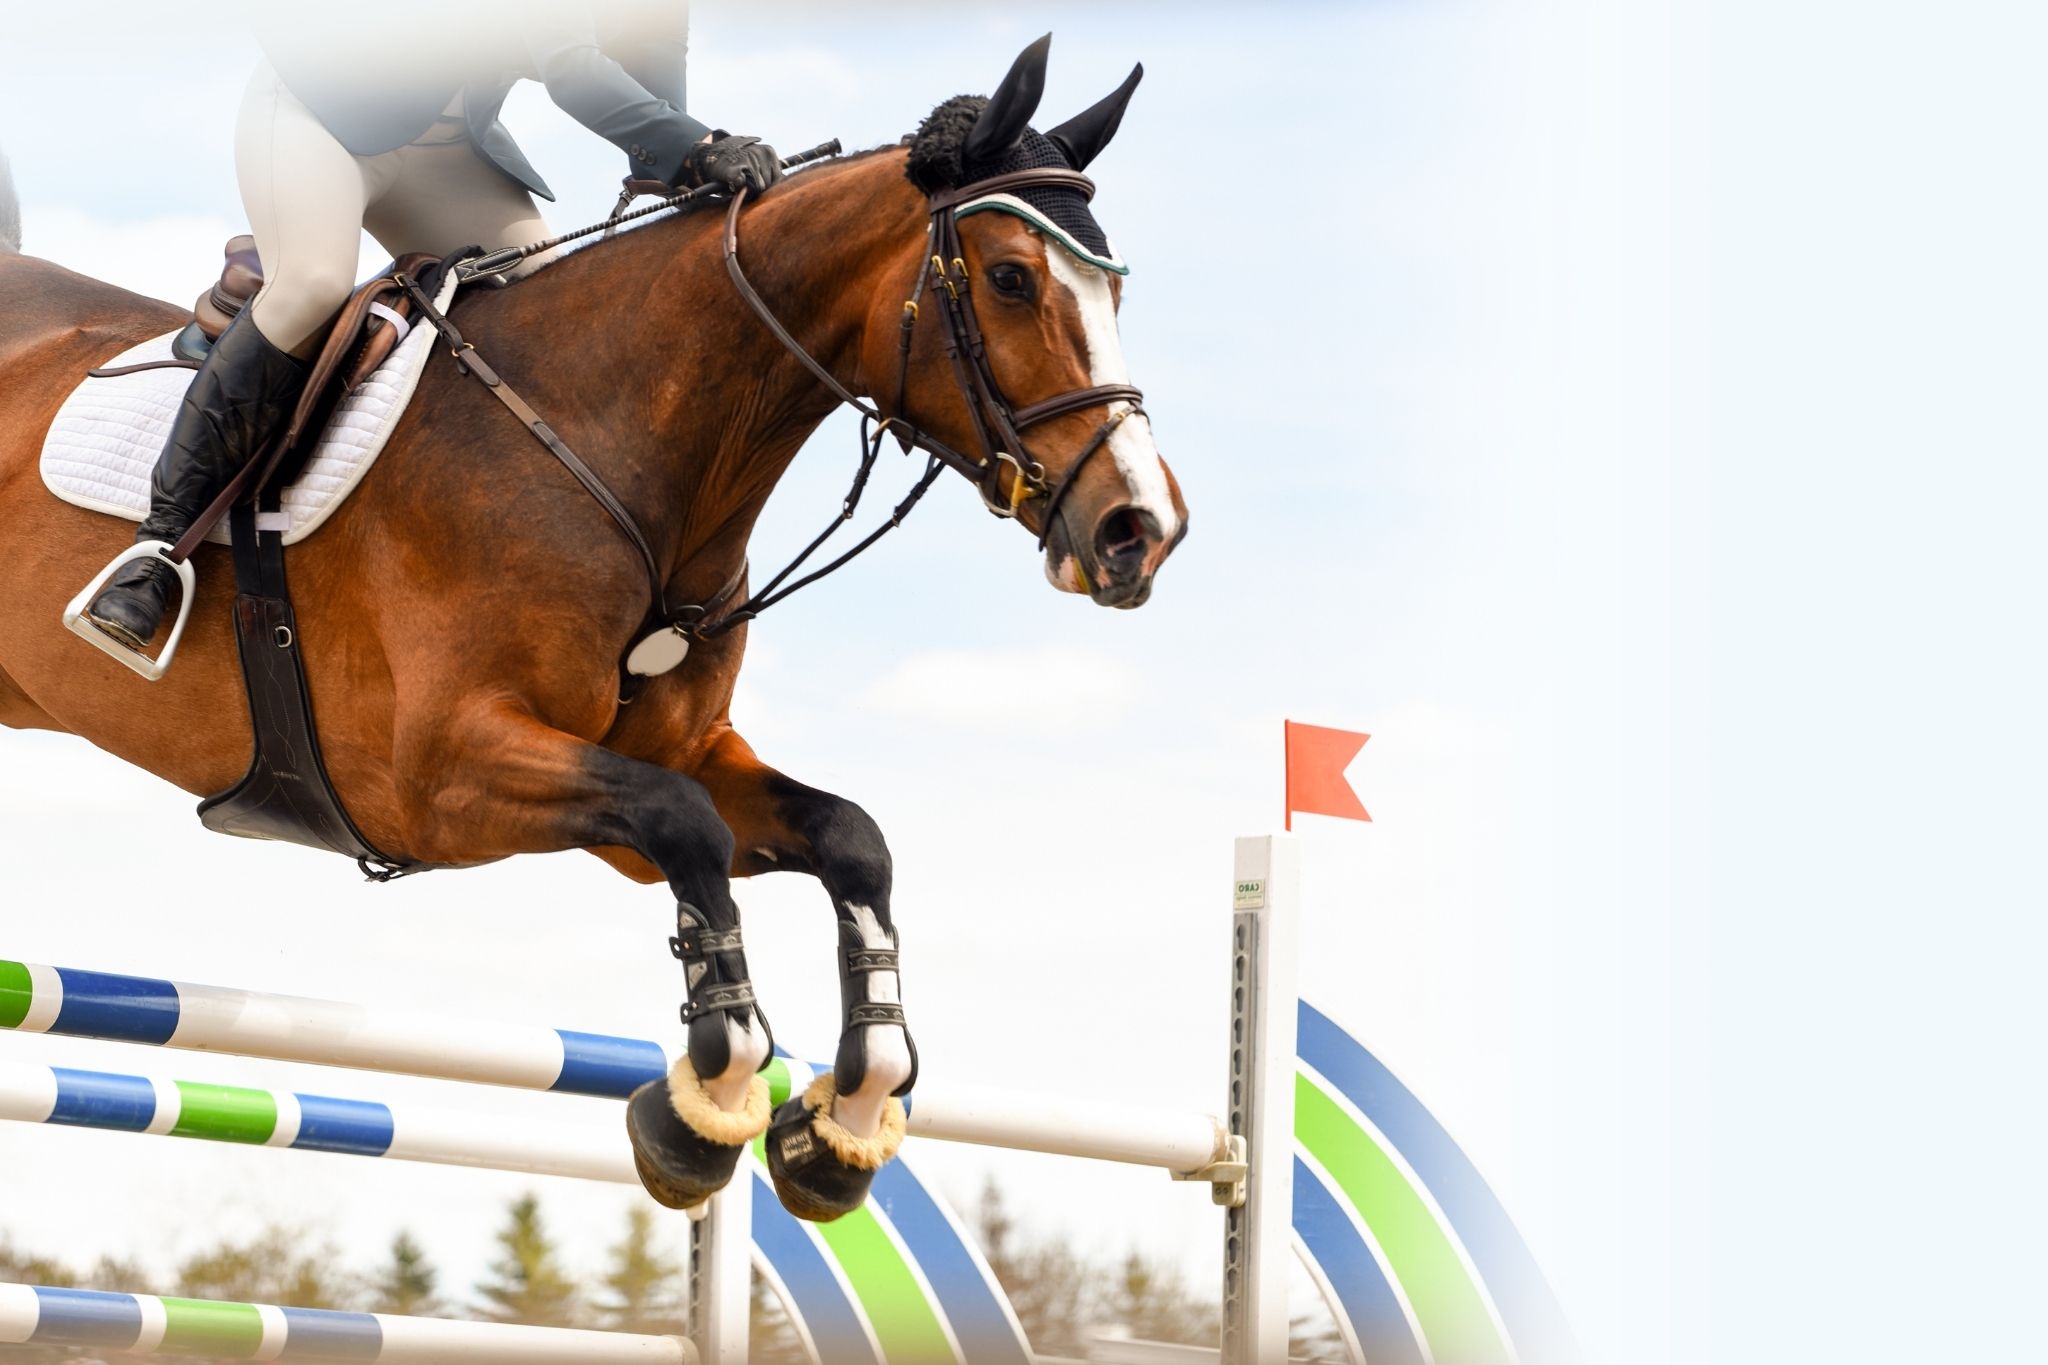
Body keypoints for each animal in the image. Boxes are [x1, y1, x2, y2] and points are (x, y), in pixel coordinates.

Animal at [0, 36, 1186, 1221]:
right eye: (1011, 277)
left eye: (1116, 287)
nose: (1140, 529)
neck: (612, 442)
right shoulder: (435, 776)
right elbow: (683, 825)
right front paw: (713, 1096)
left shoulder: (666, 763)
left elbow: (848, 838)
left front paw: (846, 1115)